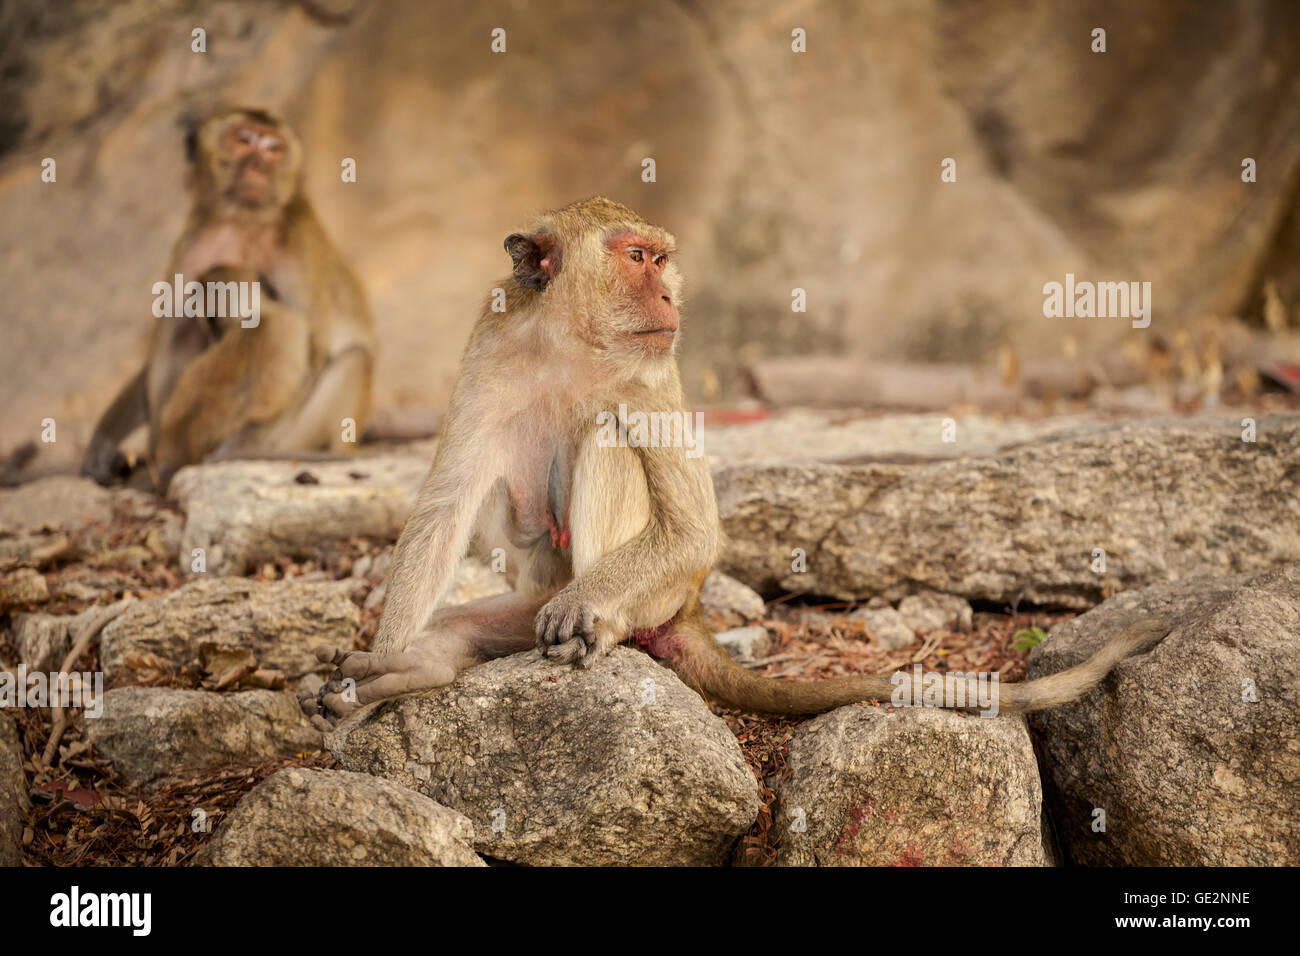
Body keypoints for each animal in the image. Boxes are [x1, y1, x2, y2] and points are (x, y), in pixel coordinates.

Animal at [81, 107, 374, 492]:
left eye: (273, 148)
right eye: (244, 140)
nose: (258, 165)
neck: (243, 221)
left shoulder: (296, 249)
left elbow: (315, 356)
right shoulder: (194, 246)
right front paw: (100, 447)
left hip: (294, 435)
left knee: (354, 360)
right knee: (180, 322)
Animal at [301, 197, 1172, 727]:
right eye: (637, 258)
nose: (668, 297)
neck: (567, 345)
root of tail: (684, 610)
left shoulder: (648, 375)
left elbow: (693, 530)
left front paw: (587, 608)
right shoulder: (489, 349)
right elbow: (443, 510)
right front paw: (372, 680)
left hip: (654, 593)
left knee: (609, 446)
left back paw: (600, 623)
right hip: (524, 609)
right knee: (485, 618)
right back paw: (420, 667)